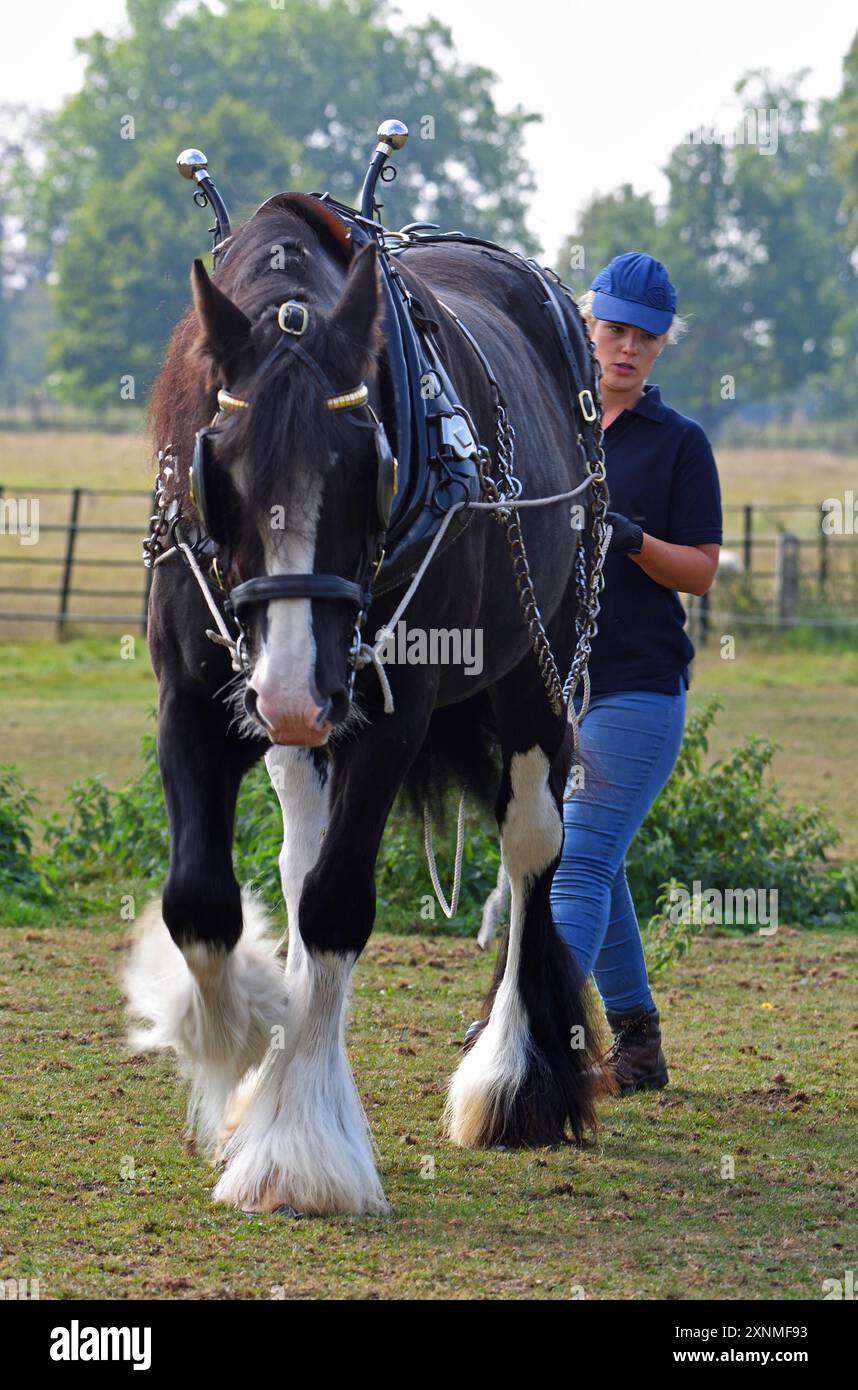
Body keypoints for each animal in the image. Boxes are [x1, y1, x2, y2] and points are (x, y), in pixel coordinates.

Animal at [125, 191, 609, 1216]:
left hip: (540, 672)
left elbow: (338, 906)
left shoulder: (390, 715)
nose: (294, 690)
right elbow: (201, 902)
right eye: (218, 467)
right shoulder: (193, 703)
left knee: (531, 844)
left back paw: (514, 1079)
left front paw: (295, 1150)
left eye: (369, 468)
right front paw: (246, 1049)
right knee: (300, 856)